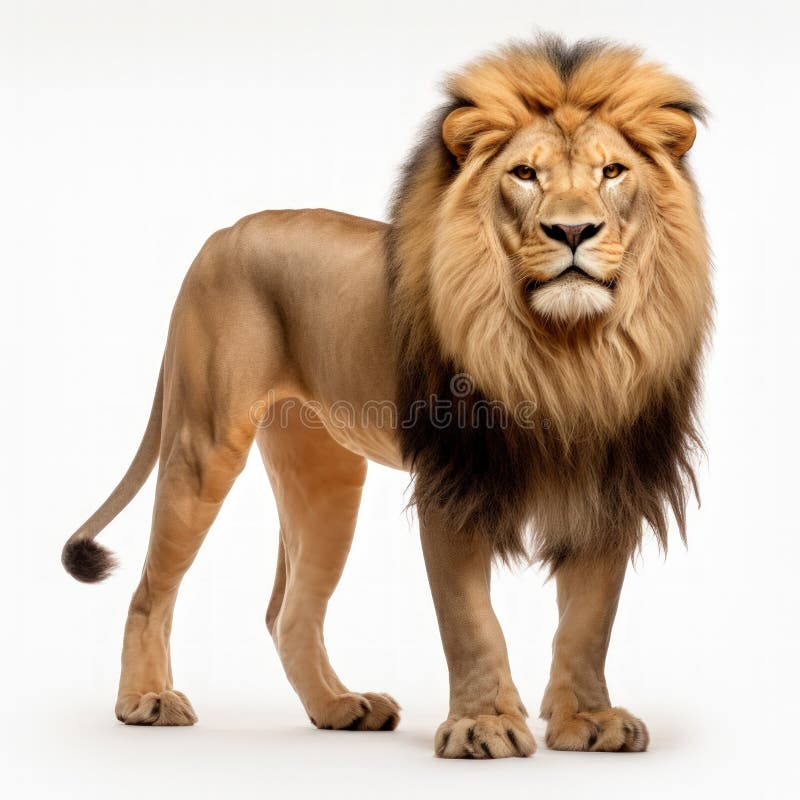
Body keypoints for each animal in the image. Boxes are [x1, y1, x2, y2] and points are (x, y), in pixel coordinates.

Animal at [61, 36, 712, 759]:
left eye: (612, 172)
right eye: (524, 175)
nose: (574, 232)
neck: (567, 349)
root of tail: (222, 234)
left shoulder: (612, 478)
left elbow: (590, 619)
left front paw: (588, 721)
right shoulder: (455, 481)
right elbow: (471, 619)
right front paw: (484, 725)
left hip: (324, 473)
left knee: (287, 611)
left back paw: (340, 706)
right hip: (205, 442)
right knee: (150, 589)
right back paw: (144, 700)